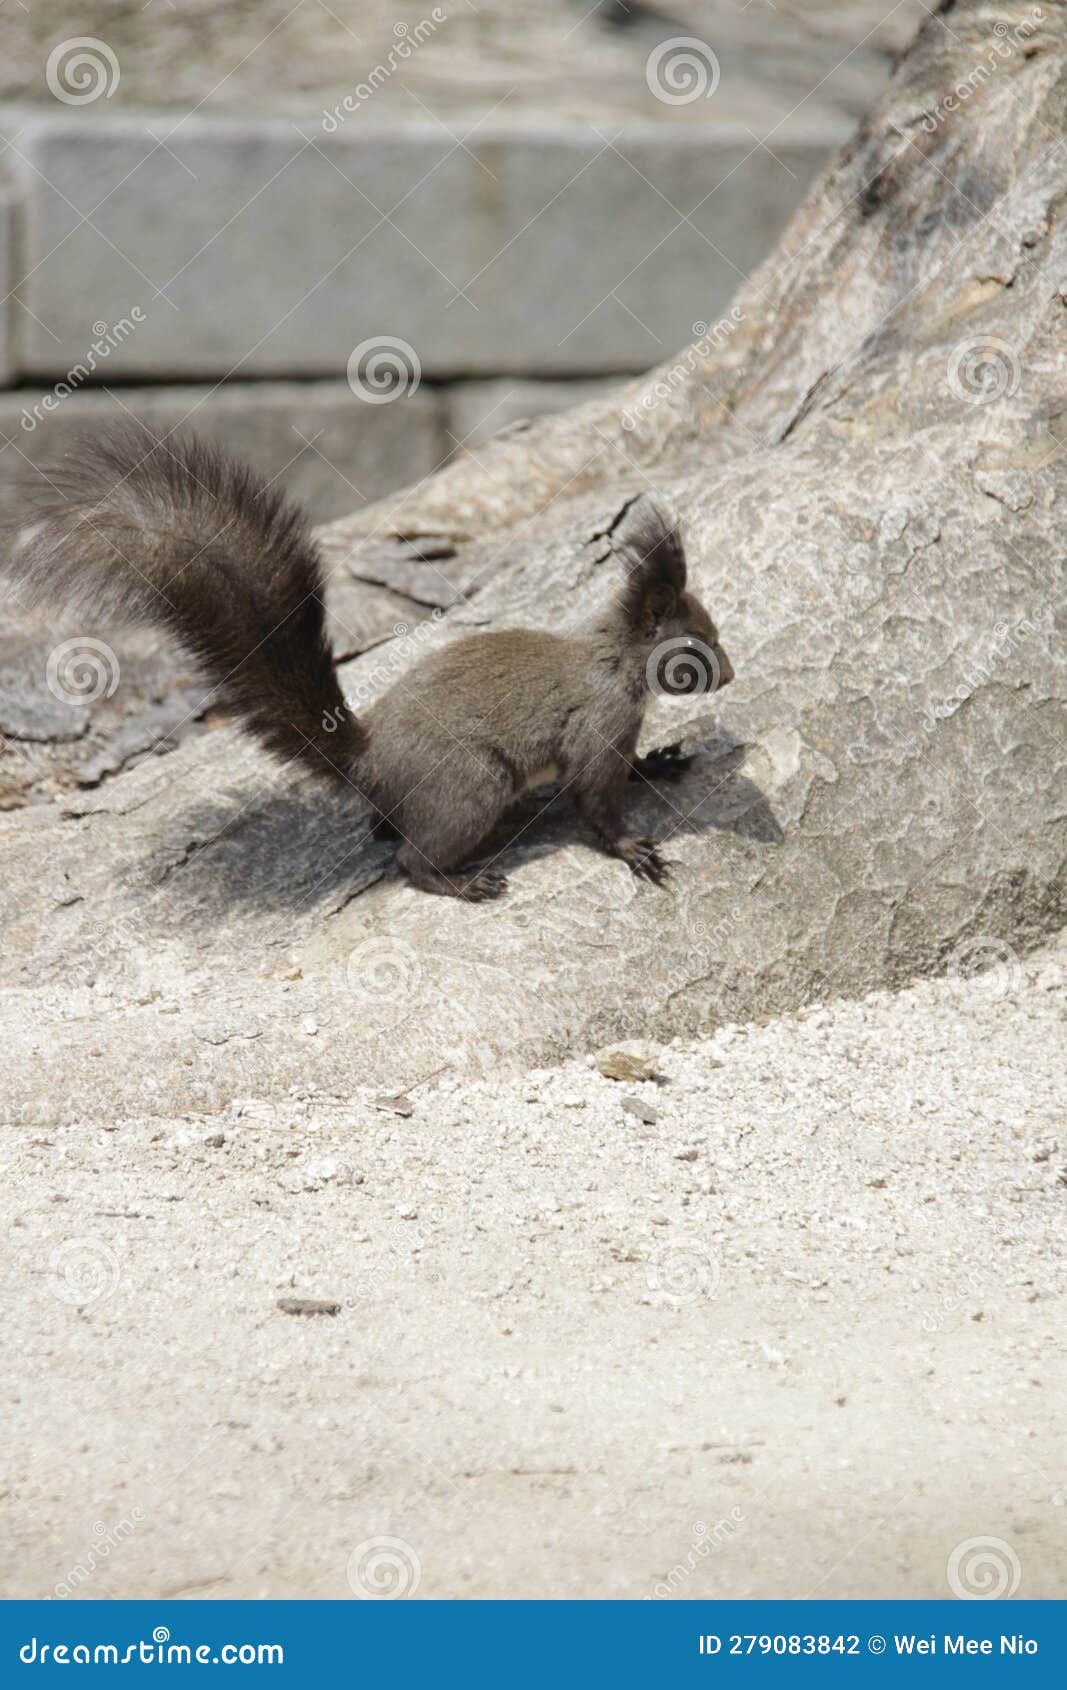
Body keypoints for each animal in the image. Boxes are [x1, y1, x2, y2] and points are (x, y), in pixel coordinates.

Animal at [8, 427, 733, 900]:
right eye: (694, 644)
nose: (728, 676)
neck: (616, 659)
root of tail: (366, 758)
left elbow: (624, 772)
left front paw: (659, 762)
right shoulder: (597, 725)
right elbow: (594, 800)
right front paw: (632, 850)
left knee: (386, 835)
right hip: (470, 786)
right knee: (409, 860)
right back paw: (462, 882)